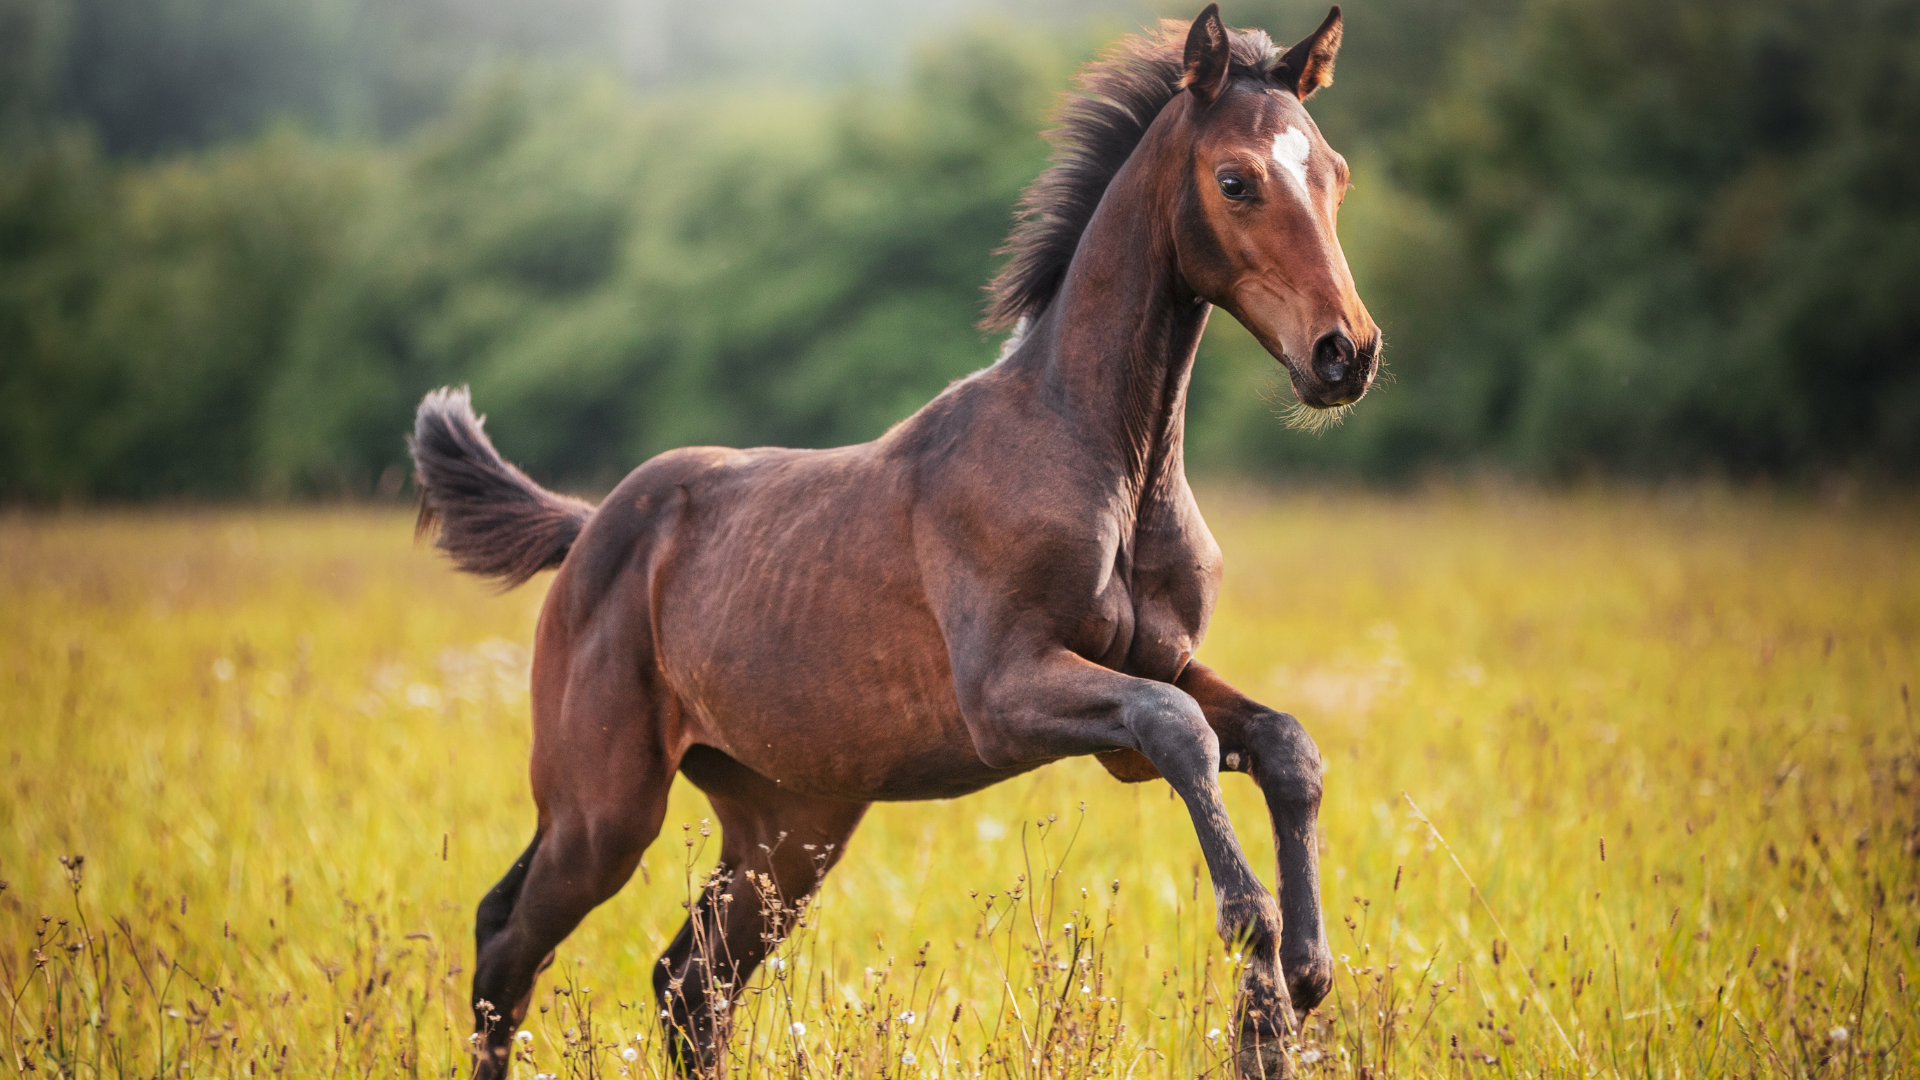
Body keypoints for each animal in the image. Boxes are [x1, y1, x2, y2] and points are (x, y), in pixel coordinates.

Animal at [410, 5, 1378, 1077]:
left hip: (788, 826)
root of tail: (590, 530)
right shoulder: (1005, 692)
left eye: (1335, 172)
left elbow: (1280, 741)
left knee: (688, 984)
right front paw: (1260, 972)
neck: (1105, 459)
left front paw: (1303, 975)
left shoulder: (1159, 664)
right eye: (1236, 179)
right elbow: (1180, 731)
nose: (1345, 353)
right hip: (602, 807)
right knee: (508, 941)